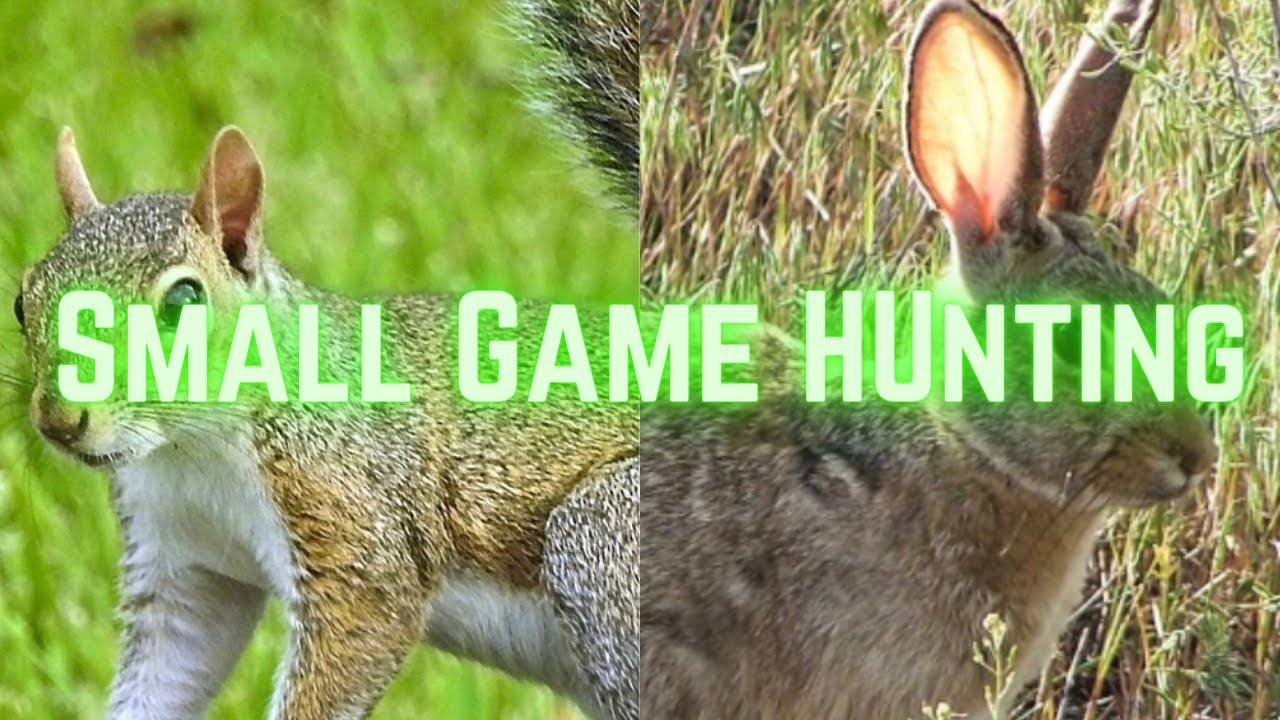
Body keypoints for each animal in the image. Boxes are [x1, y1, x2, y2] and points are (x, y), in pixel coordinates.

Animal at [15, 0, 638, 718]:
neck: (193, 447)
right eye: (22, 301)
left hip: (602, 542)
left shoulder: (351, 515)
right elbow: (175, 662)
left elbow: (364, 627)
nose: (62, 420)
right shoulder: (186, 562)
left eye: (184, 301)